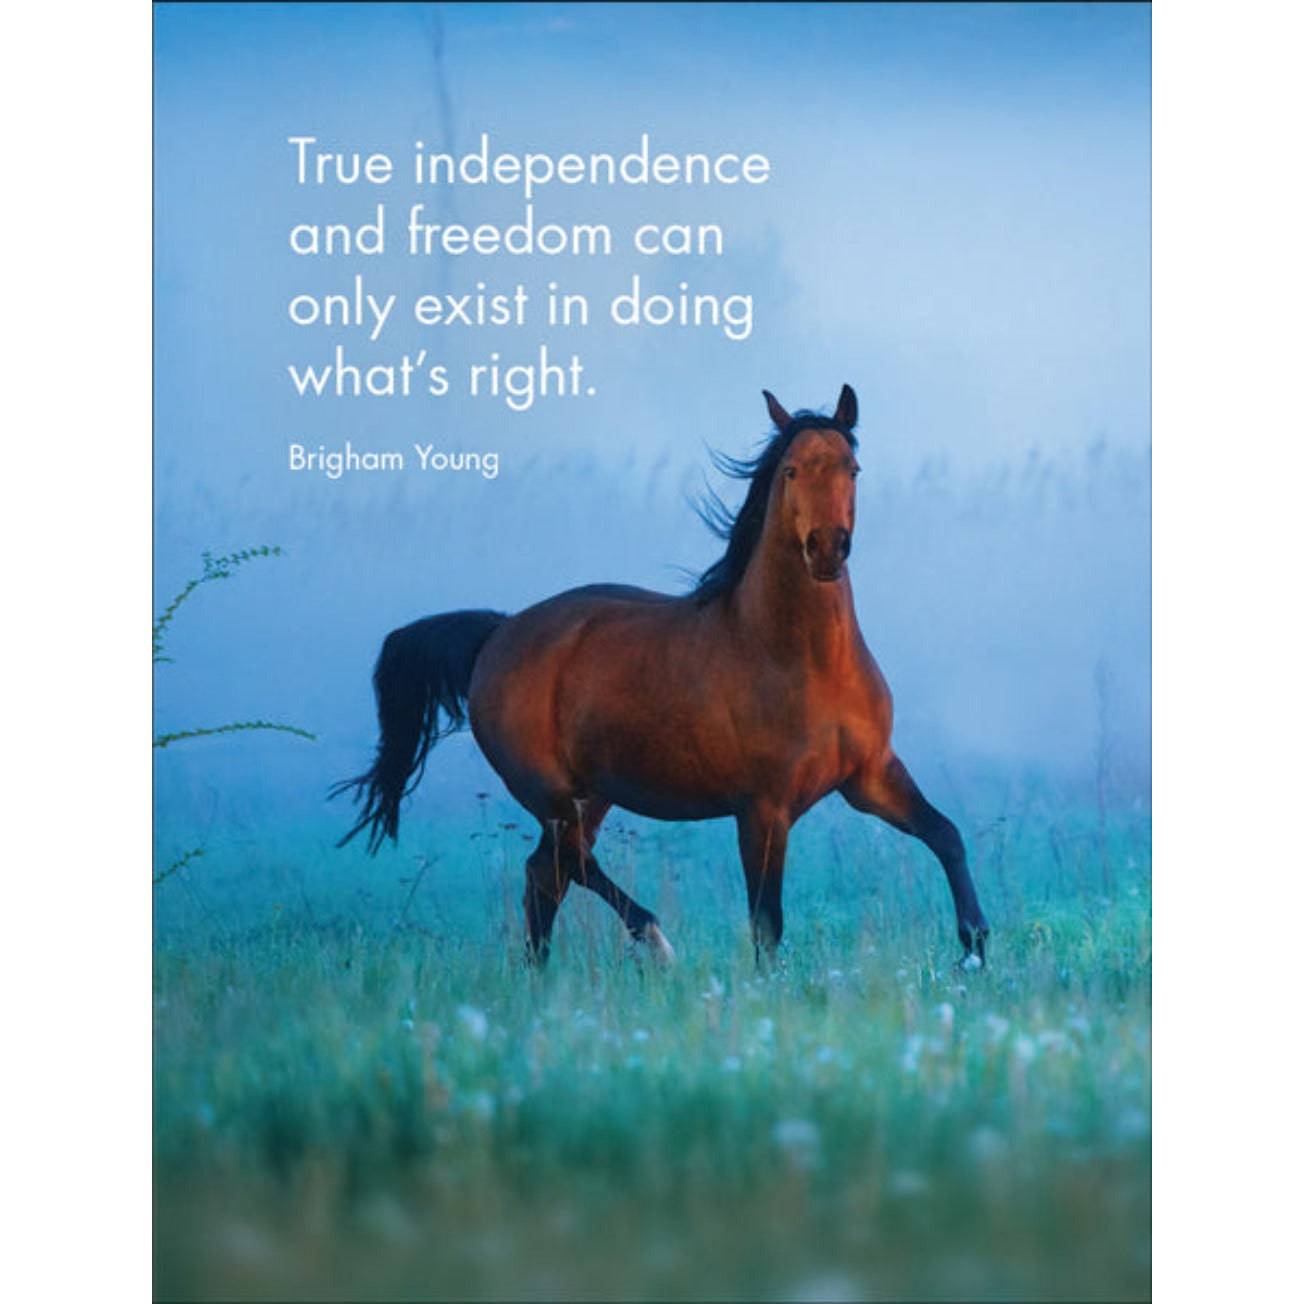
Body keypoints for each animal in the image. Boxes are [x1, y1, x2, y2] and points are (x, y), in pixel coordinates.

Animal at [334, 385, 990, 968]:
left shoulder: (870, 776)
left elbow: (947, 835)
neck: (800, 659)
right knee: (568, 865)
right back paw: (652, 940)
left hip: (591, 793)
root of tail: (499, 632)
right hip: (548, 790)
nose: (827, 549)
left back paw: (539, 978)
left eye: (852, 468)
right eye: (792, 470)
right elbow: (766, 922)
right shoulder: (763, 810)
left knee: (546, 875)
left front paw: (975, 950)